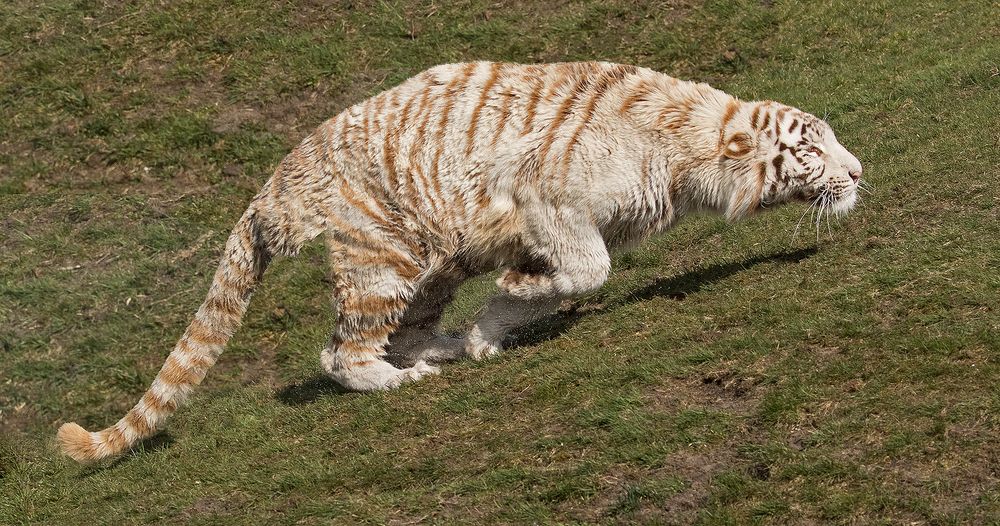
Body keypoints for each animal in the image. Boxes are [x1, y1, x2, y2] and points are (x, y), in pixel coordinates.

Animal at [58, 61, 863, 462]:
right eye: (810, 148)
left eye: (829, 140)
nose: (858, 173)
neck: (689, 147)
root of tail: (280, 175)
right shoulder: (549, 193)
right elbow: (586, 270)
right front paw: (517, 289)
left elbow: (557, 282)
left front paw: (487, 332)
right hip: (384, 253)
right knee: (340, 351)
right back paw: (396, 378)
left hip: (435, 262)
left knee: (403, 325)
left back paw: (439, 346)